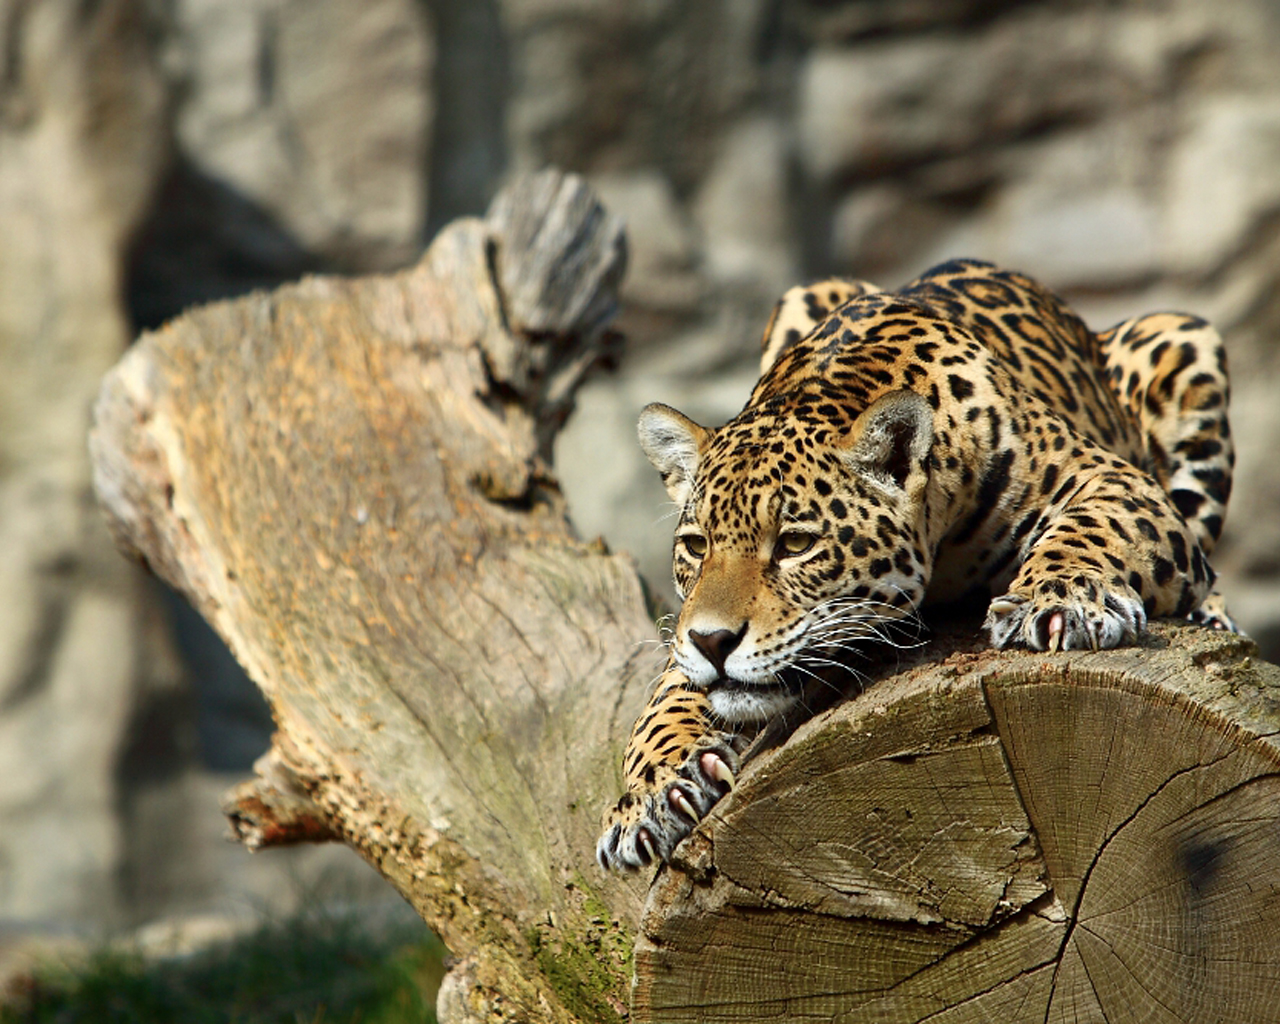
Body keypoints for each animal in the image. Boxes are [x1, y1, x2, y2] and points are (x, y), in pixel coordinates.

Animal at [596, 258, 1238, 872]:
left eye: (795, 544)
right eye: (697, 546)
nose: (714, 643)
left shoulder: (1115, 479)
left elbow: (1088, 528)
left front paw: (1059, 600)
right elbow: (666, 690)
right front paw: (647, 794)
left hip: (1183, 339)